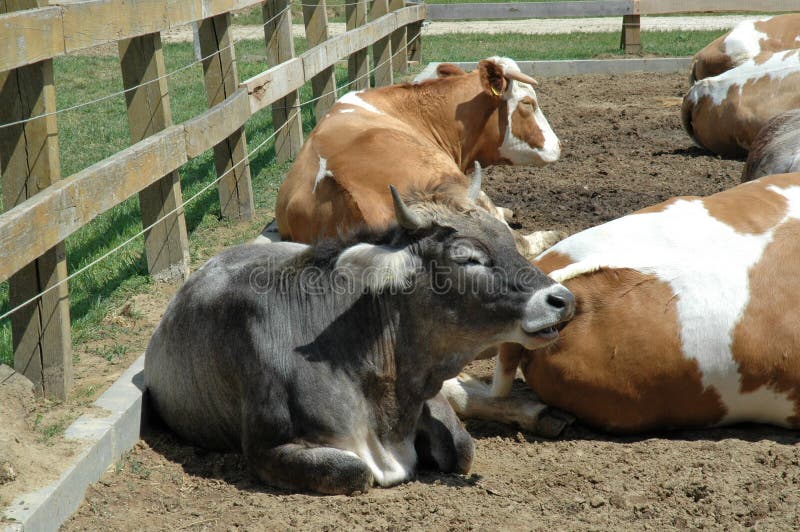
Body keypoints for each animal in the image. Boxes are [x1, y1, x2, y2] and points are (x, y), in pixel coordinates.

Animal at [145, 180, 575, 494]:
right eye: (468, 258)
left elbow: (463, 446)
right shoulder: (267, 447)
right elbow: (354, 471)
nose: (563, 299)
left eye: (507, 238)